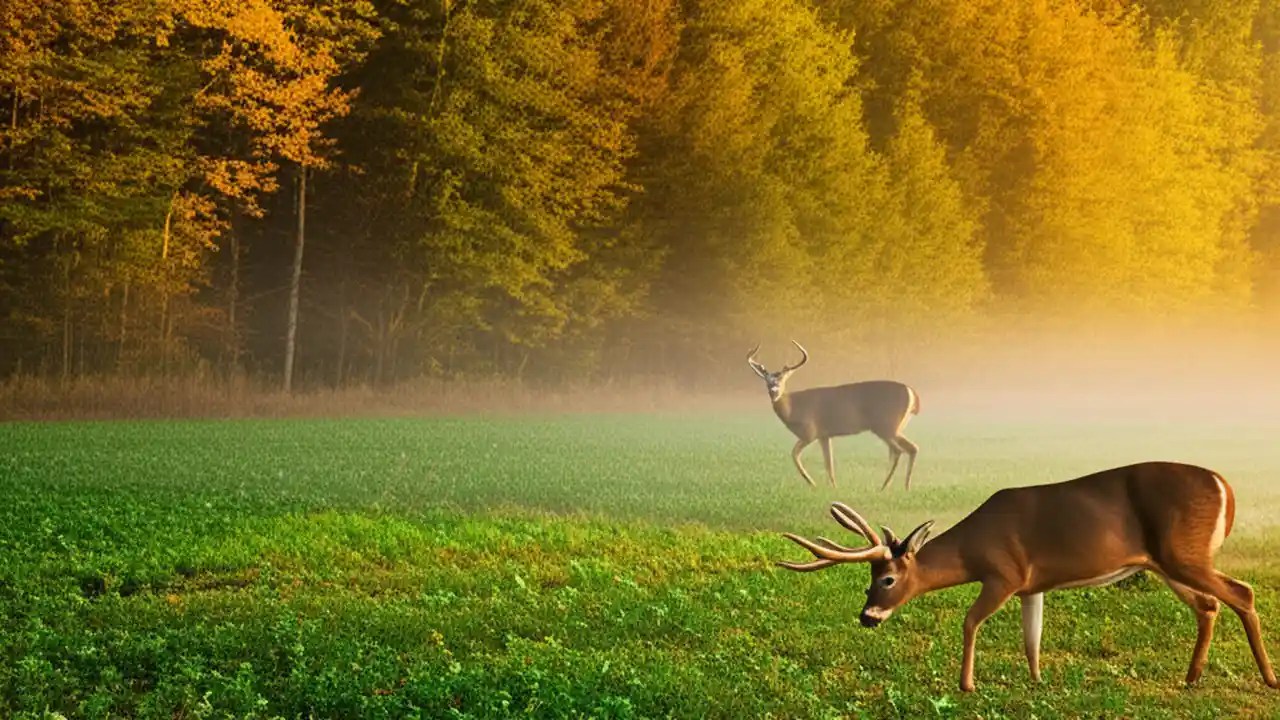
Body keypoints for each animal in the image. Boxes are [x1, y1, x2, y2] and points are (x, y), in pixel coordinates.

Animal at [747, 341, 920, 489]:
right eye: (766, 380)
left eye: (782, 378)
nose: (773, 390)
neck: (793, 407)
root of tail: (912, 392)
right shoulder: (824, 435)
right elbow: (828, 463)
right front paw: (833, 487)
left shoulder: (810, 432)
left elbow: (795, 454)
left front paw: (812, 484)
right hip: (894, 428)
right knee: (909, 449)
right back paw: (901, 486)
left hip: (886, 426)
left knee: (902, 450)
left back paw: (887, 486)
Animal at [775, 461, 1279, 692]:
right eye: (869, 578)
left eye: (886, 580)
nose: (868, 618)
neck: (973, 546)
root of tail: (1225, 485)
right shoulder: (1032, 587)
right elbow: (1031, 638)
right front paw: (1037, 680)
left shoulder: (1005, 573)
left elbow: (970, 622)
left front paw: (967, 684)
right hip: (1164, 563)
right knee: (1209, 605)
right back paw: (1191, 678)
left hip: (1183, 555)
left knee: (1242, 592)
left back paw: (1269, 679)